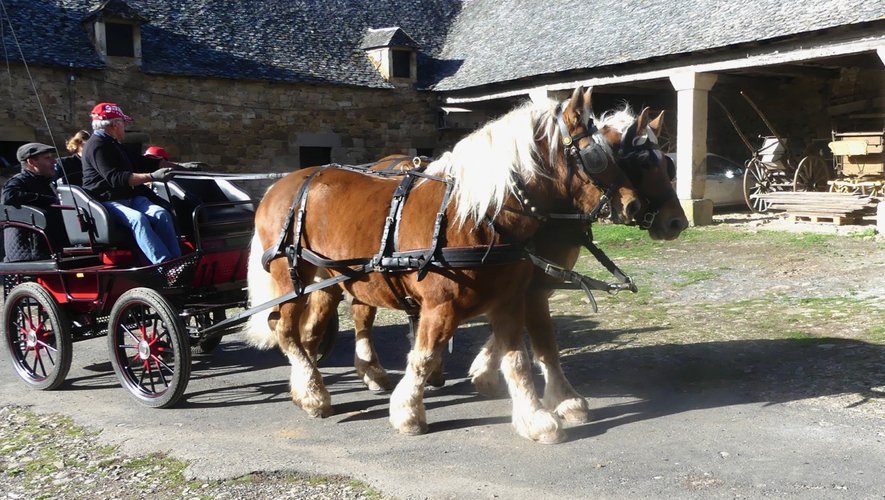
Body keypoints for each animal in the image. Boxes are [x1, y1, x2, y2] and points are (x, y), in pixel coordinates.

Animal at [245, 88, 640, 444]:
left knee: (312, 331)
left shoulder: (510, 300)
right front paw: (407, 413)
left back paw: (311, 386)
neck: (478, 217)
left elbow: (517, 359)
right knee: (285, 329)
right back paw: (314, 394)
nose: (633, 205)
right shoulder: (440, 306)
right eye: (596, 156)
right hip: (291, 277)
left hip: (330, 278)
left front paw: (534, 418)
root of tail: (281, 185)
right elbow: (423, 356)